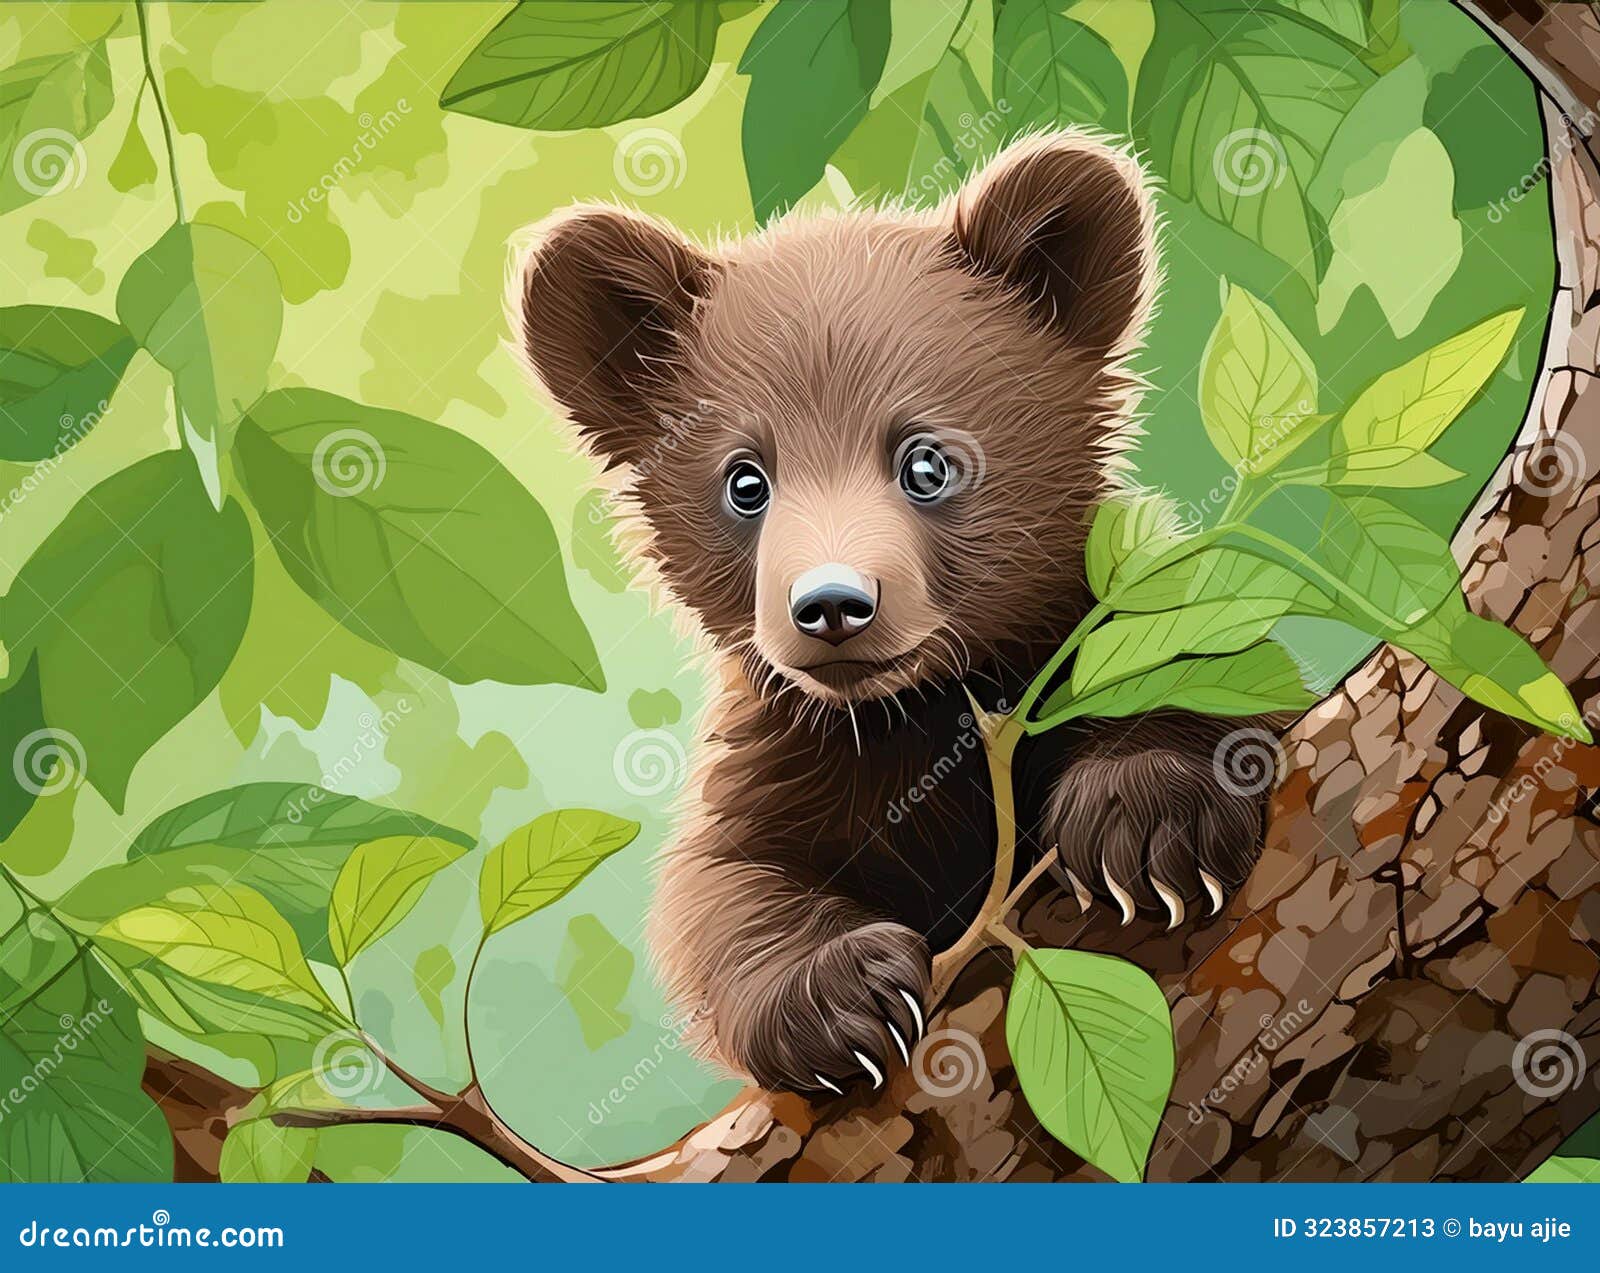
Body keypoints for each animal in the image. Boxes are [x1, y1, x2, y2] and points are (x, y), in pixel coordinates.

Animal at [516, 131, 1270, 1097]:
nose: (832, 603)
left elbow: (1199, 667)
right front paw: (837, 997)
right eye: (745, 481)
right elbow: (721, 881)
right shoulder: (785, 749)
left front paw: (1146, 821)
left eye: (926, 461)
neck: (917, 710)